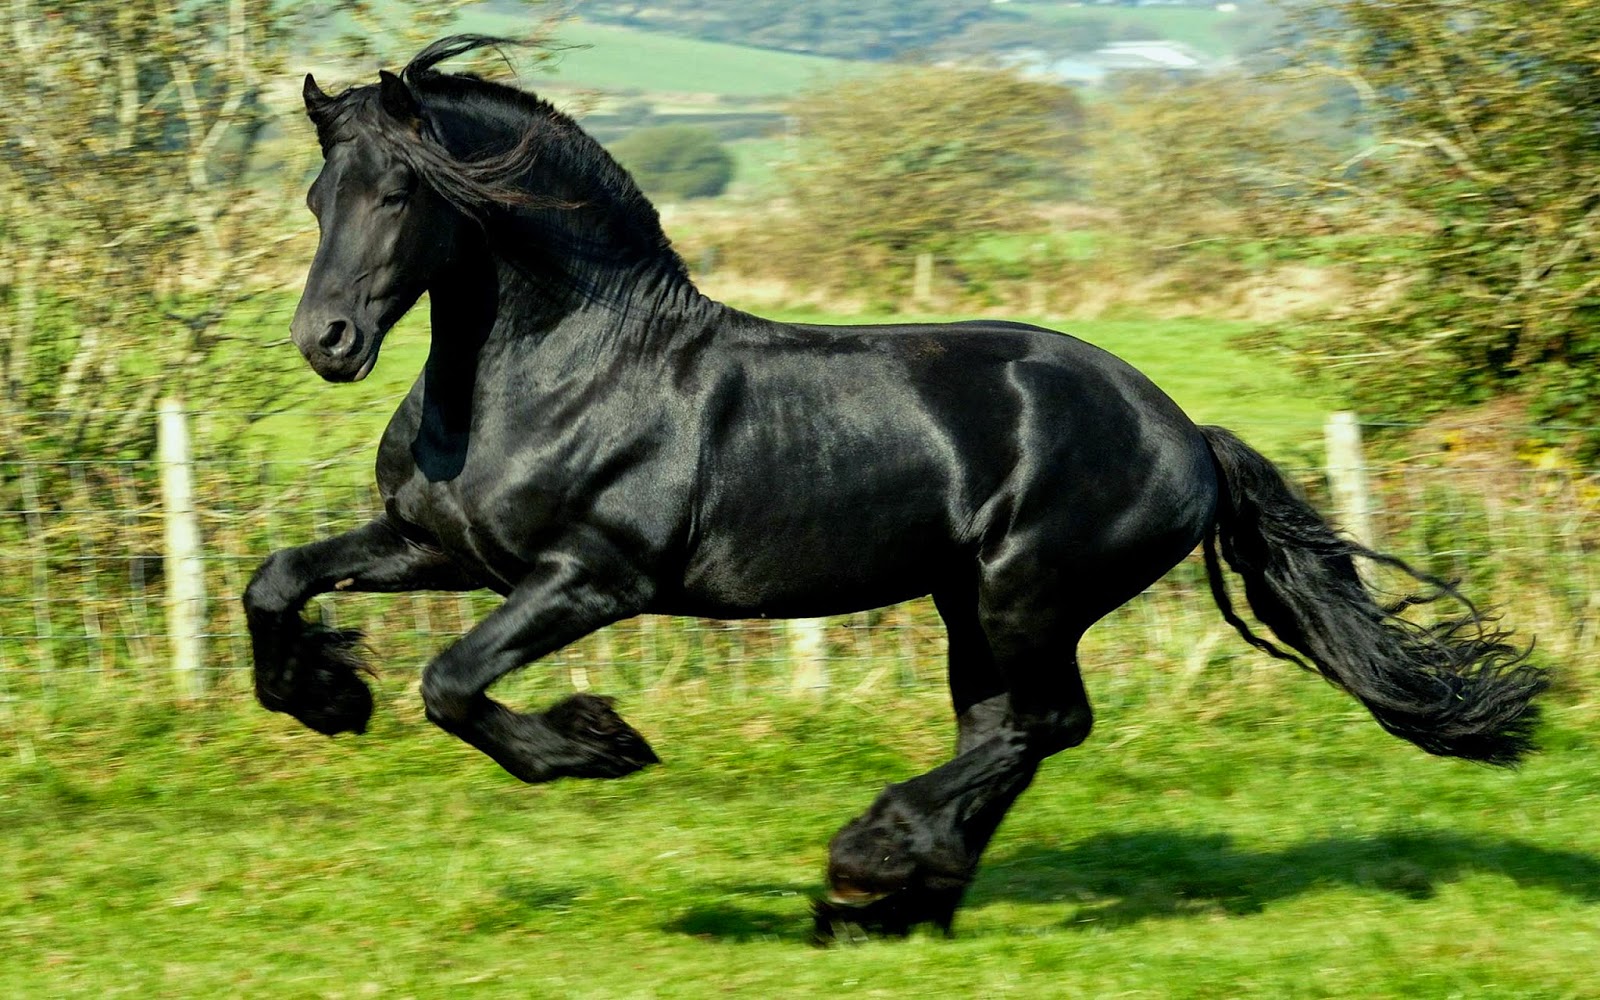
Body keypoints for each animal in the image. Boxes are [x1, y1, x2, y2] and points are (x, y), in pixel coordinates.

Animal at [244, 35, 1549, 941]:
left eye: (400, 195)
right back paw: (897, 902)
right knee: (1007, 732)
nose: (328, 342)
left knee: (1037, 724)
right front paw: (323, 696)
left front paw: (600, 744)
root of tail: (1183, 429)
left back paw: (869, 863)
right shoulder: (442, 547)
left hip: (1029, 591)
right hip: (968, 600)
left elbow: (453, 682)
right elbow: (277, 581)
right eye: (315, 197)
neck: (561, 366)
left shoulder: (591, 579)